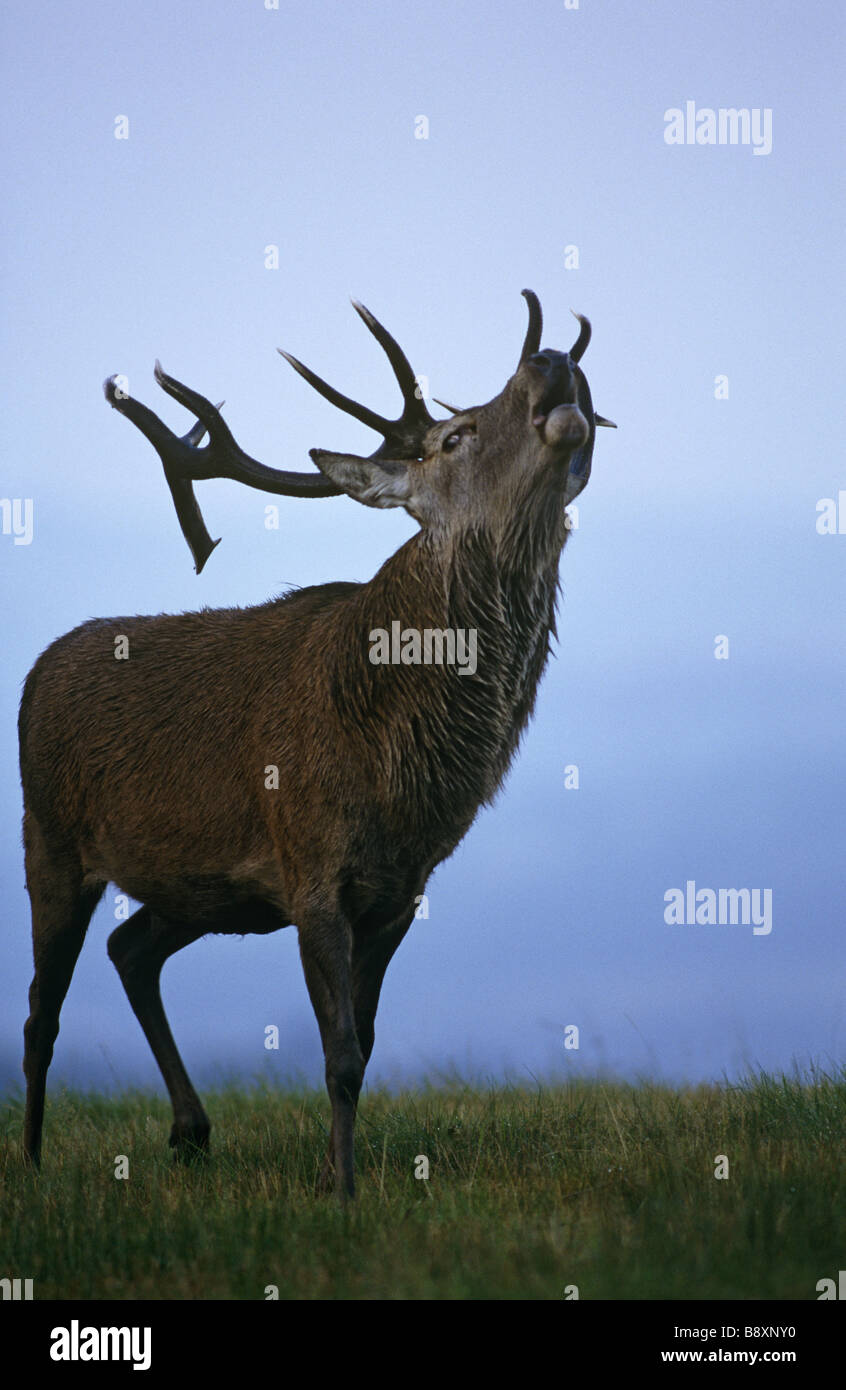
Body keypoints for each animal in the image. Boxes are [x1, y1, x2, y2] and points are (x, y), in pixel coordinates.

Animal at [19, 290, 614, 1198]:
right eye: (456, 435)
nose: (551, 360)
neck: (400, 762)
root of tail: (35, 670)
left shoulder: (399, 891)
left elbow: (363, 1044)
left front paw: (342, 1170)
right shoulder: (310, 869)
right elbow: (338, 1057)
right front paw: (341, 1189)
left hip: (202, 889)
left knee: (131, 949)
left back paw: (190, 1131)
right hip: (49, 840)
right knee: (40, 1013)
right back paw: (32, 1159)